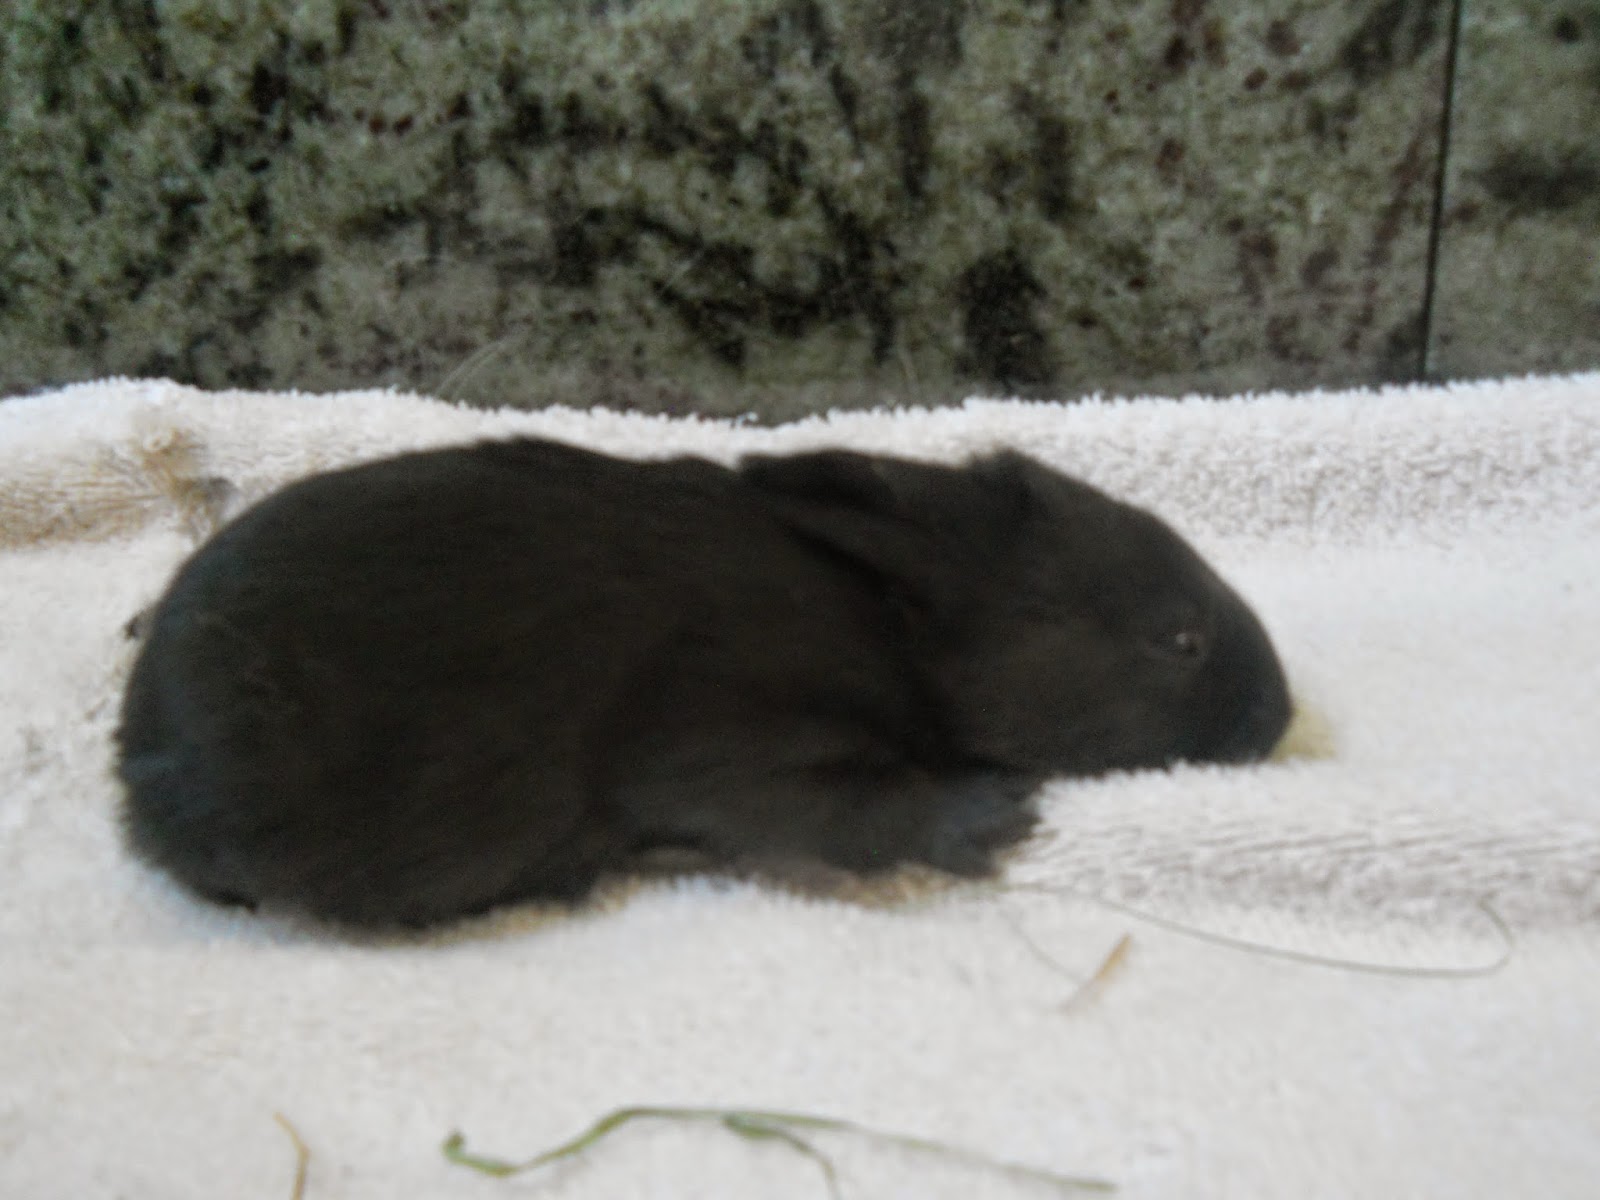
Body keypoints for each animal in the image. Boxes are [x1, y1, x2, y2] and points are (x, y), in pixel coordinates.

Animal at [115, 436, 1292, 929]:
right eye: (1180, 638)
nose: (1282, 716)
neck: (897, 628)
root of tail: (131, 759)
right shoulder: (722, 742)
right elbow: (843, 809)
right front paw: (992, 814)